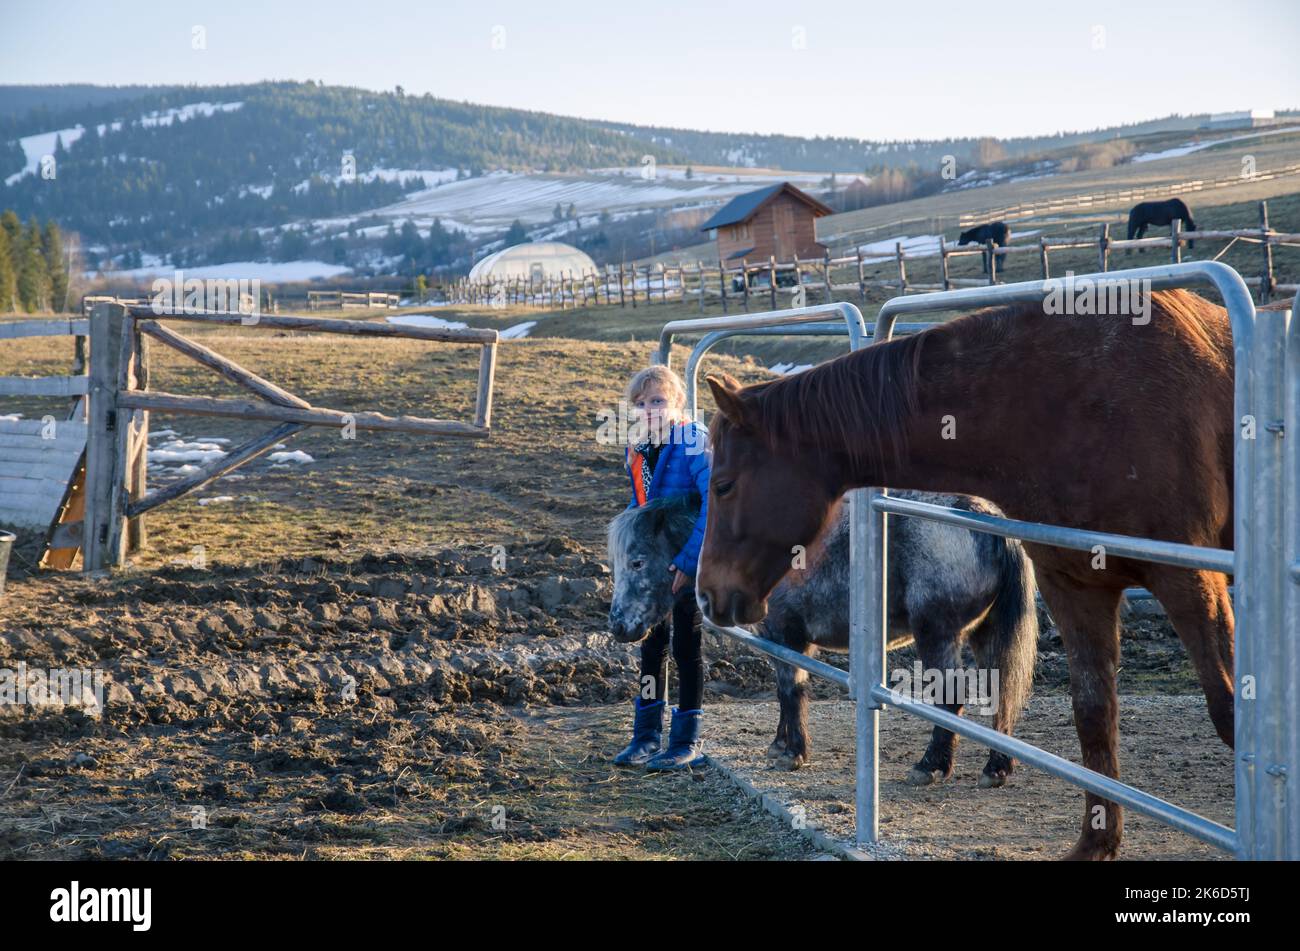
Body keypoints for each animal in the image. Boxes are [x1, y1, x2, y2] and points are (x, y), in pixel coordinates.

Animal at [607, 492, 1038, 787]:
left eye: (637, 561)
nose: (617, 626)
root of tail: (988, 522)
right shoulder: (779, 636)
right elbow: (785, 691)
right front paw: (780, 745)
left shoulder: (786, 633)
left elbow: (791, 689)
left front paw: (793, 753)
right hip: (985, 634)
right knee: (1001, 694)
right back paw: (996, 767)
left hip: (937, 633)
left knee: (951, 698)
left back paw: (930, 766)